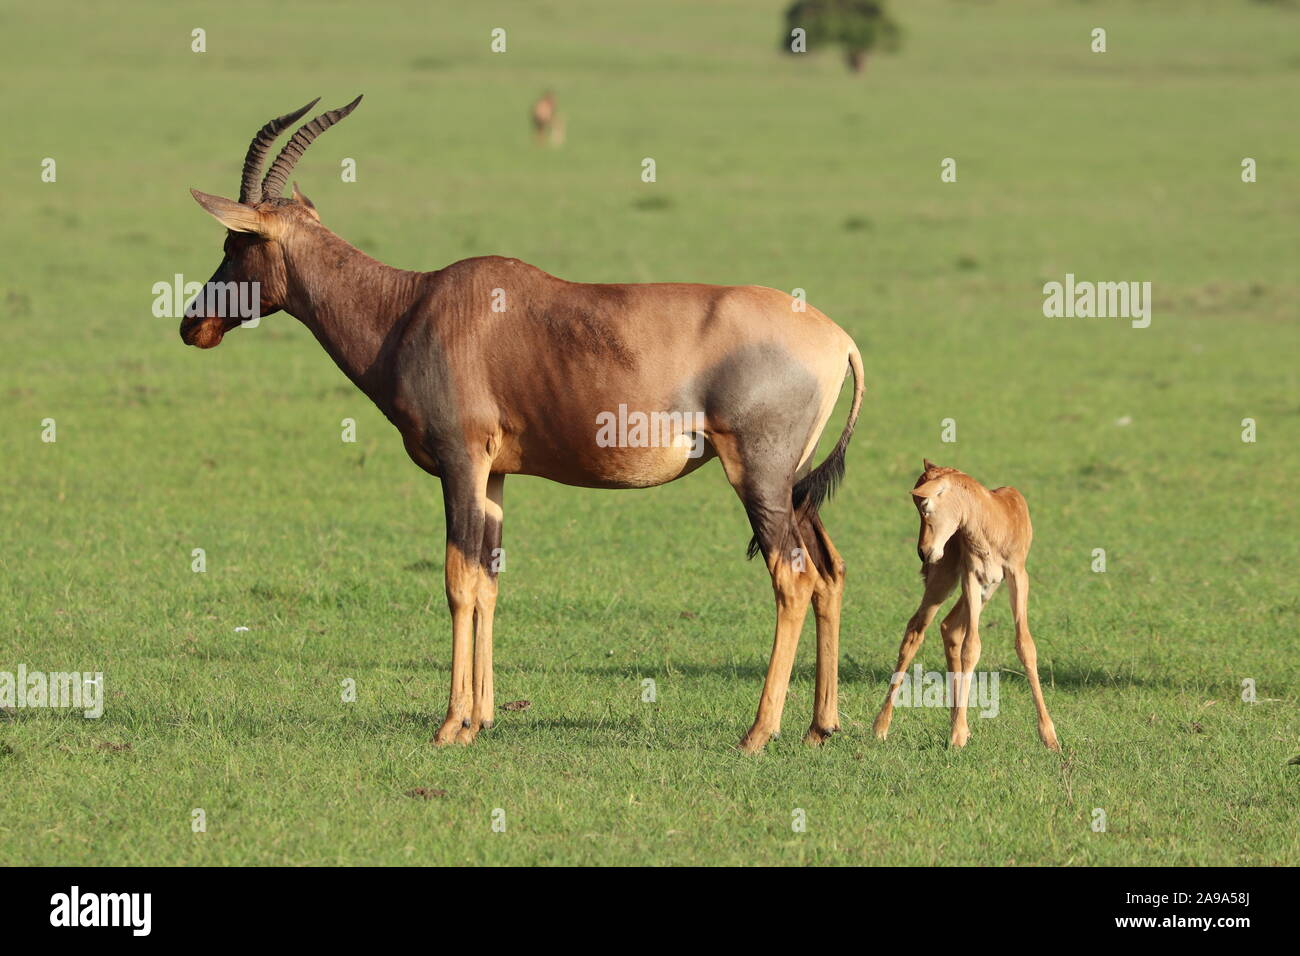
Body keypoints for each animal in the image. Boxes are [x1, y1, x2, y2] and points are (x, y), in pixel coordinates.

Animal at [180, 98, 864, 752]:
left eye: (234, 243)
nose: (192, 324)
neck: (414, 305)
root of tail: (839, 340)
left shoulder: (460, 461)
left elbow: (457, 580)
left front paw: (449, 726)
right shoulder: (494, 474)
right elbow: (487, 579)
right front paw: (480, 720)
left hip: (759, 477)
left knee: (793, 578)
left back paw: (758, 733)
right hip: (794, 483)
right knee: (829, 572)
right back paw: (819, 728)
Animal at [872, 461, 1060, 751]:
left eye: (925, 506)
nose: (923, 552)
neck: (994, 517)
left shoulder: (1016, 575)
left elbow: (1025, 646)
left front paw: (1050, 737)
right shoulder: (971, 577)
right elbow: (972, 648)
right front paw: (957, 736)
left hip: (988, 589)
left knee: (950, 627)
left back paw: (956, 720)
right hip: (943, 583)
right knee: (916, 630)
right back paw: (881, 727)